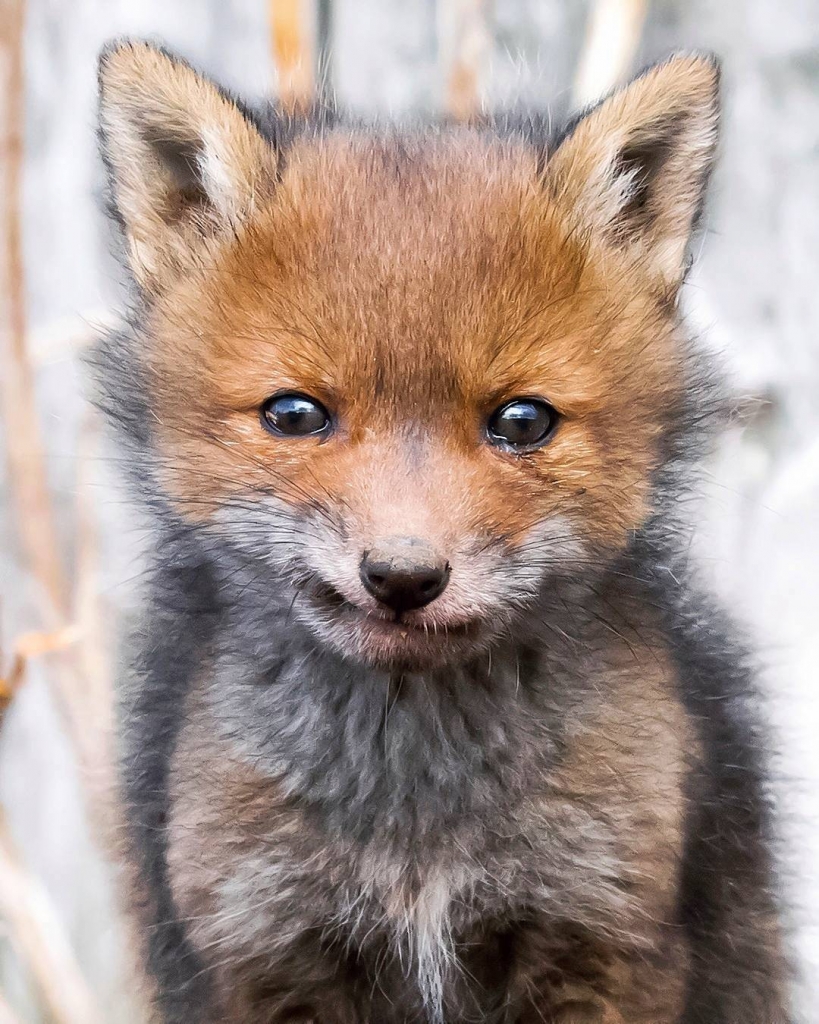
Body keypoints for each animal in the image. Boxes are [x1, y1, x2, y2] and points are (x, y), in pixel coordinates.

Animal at [93, 41, 791, 1024]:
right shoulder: (266, 948)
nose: (403, 575)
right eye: (295, 414)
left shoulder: (596, 934)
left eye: (522, 422)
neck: (414, 822)